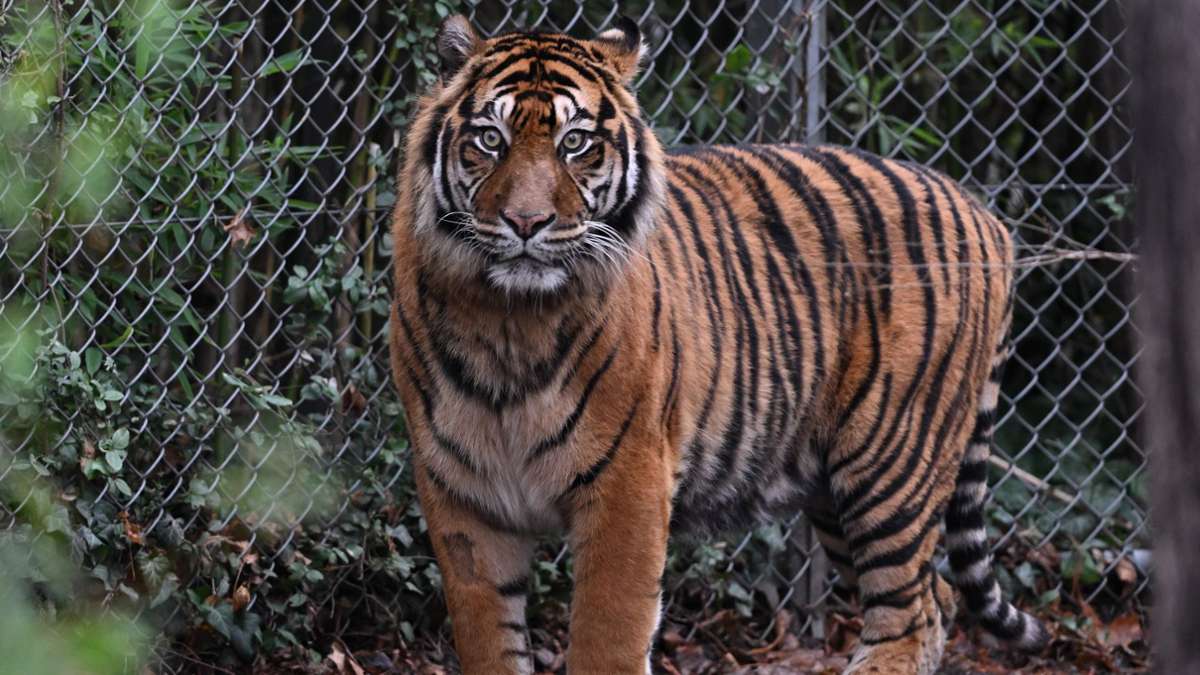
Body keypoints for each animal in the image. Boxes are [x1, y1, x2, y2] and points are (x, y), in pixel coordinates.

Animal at [387, 14, 1050, 675]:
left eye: (575, 143)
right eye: (489, 139)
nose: (526, 223)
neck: (507, 321)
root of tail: (988, 217)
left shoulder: (628, 484)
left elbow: (608, 639)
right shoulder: (461, 496)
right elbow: (488, 640)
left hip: (891, 459)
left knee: (909, 613)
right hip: (834, 488)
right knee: (936, 600)